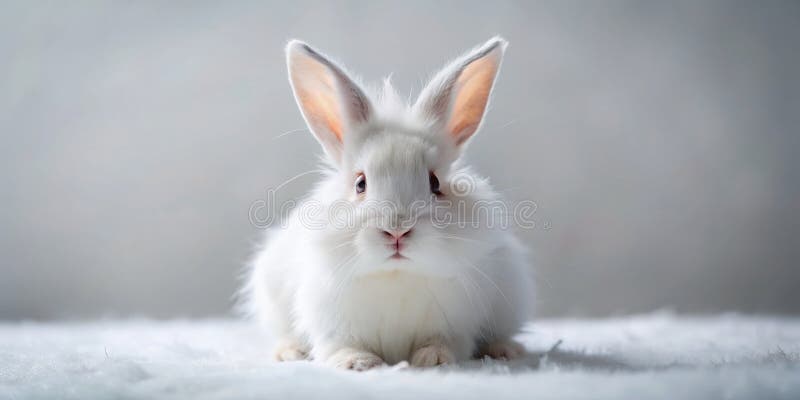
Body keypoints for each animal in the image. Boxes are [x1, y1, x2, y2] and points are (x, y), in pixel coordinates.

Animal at [240, 36, 534, 370]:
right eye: (360, 183)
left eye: (434, 183)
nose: (397, 231)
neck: (396, 274)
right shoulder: (330, 324)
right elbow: (339, 346)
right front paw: (357, 363)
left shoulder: (455, 324)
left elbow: (445, 342)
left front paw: (433, 359)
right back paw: (289, 353)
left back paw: (505, 350)